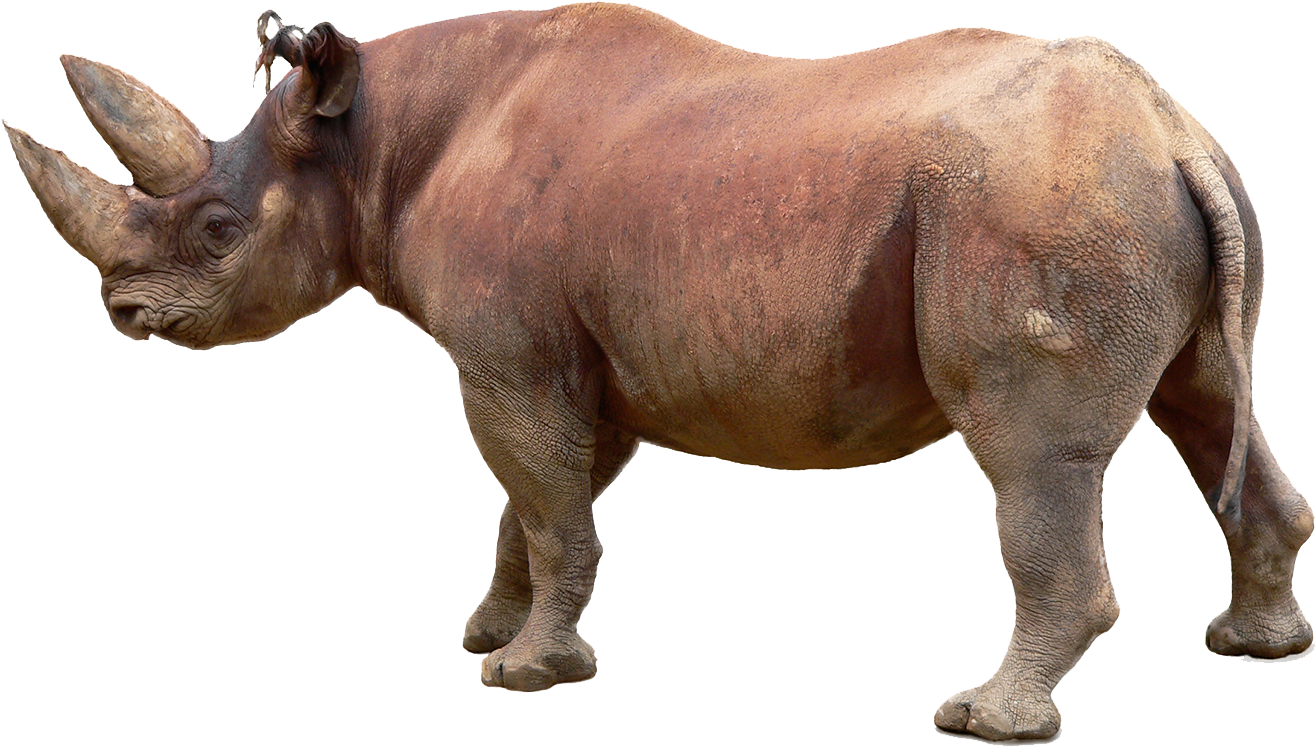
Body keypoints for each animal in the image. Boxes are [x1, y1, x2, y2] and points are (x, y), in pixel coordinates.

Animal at [8, 3, 1310, 739]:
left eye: (218, 231)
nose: (123, 312)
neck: (369, 138)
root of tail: (1171, 133)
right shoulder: (579, 363)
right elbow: (534, 509)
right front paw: (487, 636)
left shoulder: (509, 359)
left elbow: (544, 508)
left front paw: (527, 677)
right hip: (1132, 203)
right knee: (1205, 411)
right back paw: (1258, 651)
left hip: (1039, 206)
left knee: (1033, 464)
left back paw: (986, 722)